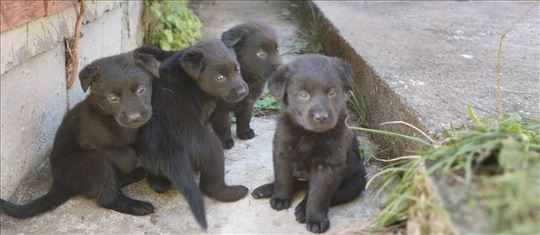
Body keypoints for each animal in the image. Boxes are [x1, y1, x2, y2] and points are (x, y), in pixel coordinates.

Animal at [0, 50, 159, 218]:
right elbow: (127, 155)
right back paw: (137, 205)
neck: (112, 119)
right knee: (107, 197)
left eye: (141, 90)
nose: (135, 117)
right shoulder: (94, 144)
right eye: (112, 98)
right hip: (92, 163)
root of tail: (59, 182)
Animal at [137, 39, 251, 229]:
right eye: (220, 77)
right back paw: (235, 192)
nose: (243, 92)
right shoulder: (206, 110)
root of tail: (171, 153)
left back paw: (158, 182)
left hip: (147, 153)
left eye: (237, 69)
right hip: (210, 148)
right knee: (210, 186)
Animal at [209, 20, 280, 149]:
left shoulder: (248, 101)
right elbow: (223, 124)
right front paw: (225, 141)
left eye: (277, 49)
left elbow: (245, 118)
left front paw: (245, 132)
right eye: (261, 53)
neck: (248, 79)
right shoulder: (219, 108)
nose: (282, 68)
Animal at [252, 54, 368, 233]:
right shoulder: (281, 152)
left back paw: (302, 209)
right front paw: (280, 197)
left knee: (327, 194)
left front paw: (315, 219)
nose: (321, 117)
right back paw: (266, 190)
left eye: (332, 93)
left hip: (356, 181)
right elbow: (283, 178)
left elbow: (319, 195)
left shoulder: (327, 165)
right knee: (298, 183)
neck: (309, 135)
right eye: (303, 94)